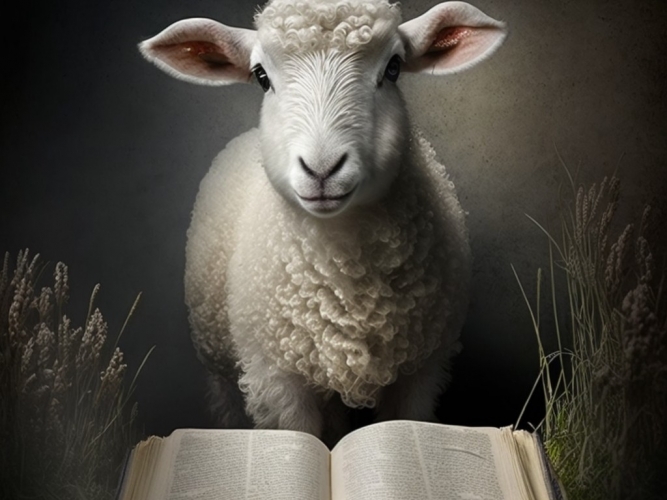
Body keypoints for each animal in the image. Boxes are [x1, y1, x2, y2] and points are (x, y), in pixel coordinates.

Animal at [139, 0, 506, 441]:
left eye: (394, 68)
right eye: (261, 76)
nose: (322, 169)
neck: (348, 283)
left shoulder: (420, 371)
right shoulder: (276, 378)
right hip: (223, 369)